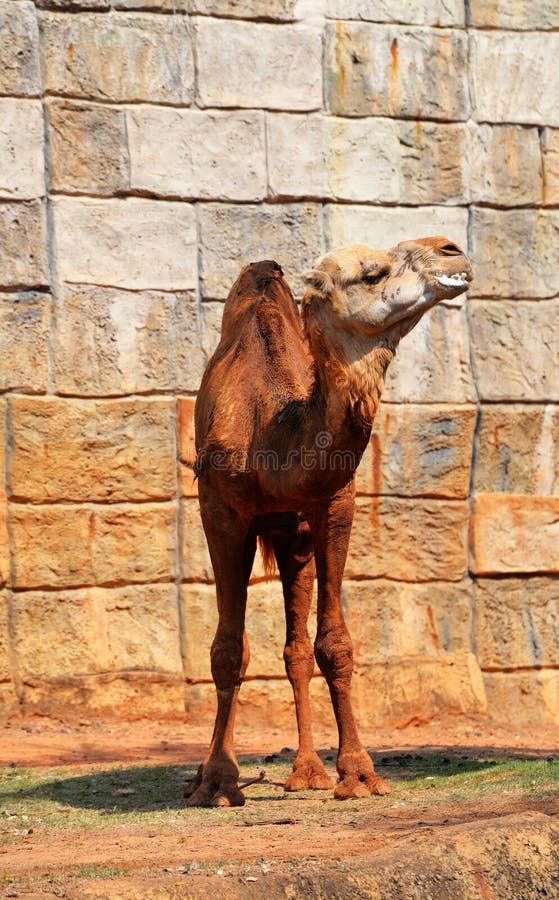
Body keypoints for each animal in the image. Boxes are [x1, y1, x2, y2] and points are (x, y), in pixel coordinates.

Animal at [186, 236, 473, 807]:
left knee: (295, 648)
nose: (451, 250)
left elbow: (333, 644)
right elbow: (227, 650)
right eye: (372, 272)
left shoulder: (334, 502)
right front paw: (218, 781)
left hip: (291, 536)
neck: (268, 431)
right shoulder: (220, 510)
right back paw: (212, 774)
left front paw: (358, 774)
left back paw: (308, 771)